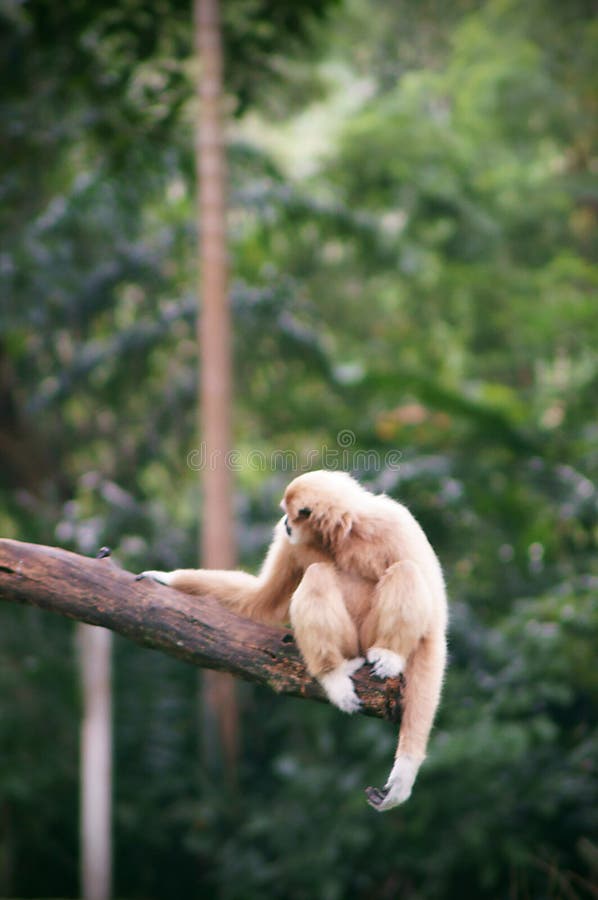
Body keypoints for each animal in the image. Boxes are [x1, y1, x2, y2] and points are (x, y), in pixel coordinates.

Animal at [137, 469, 448, 811]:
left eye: (290, 514)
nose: (285, 522)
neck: (343, 537)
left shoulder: (398, 525)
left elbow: (433, 633)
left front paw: (405, 773)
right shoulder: (290, 543)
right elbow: (263, 599)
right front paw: (165, 578)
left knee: (405, 571)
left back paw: (388, 656)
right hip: (350, 643)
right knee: (318, 575)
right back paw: (333, 675)